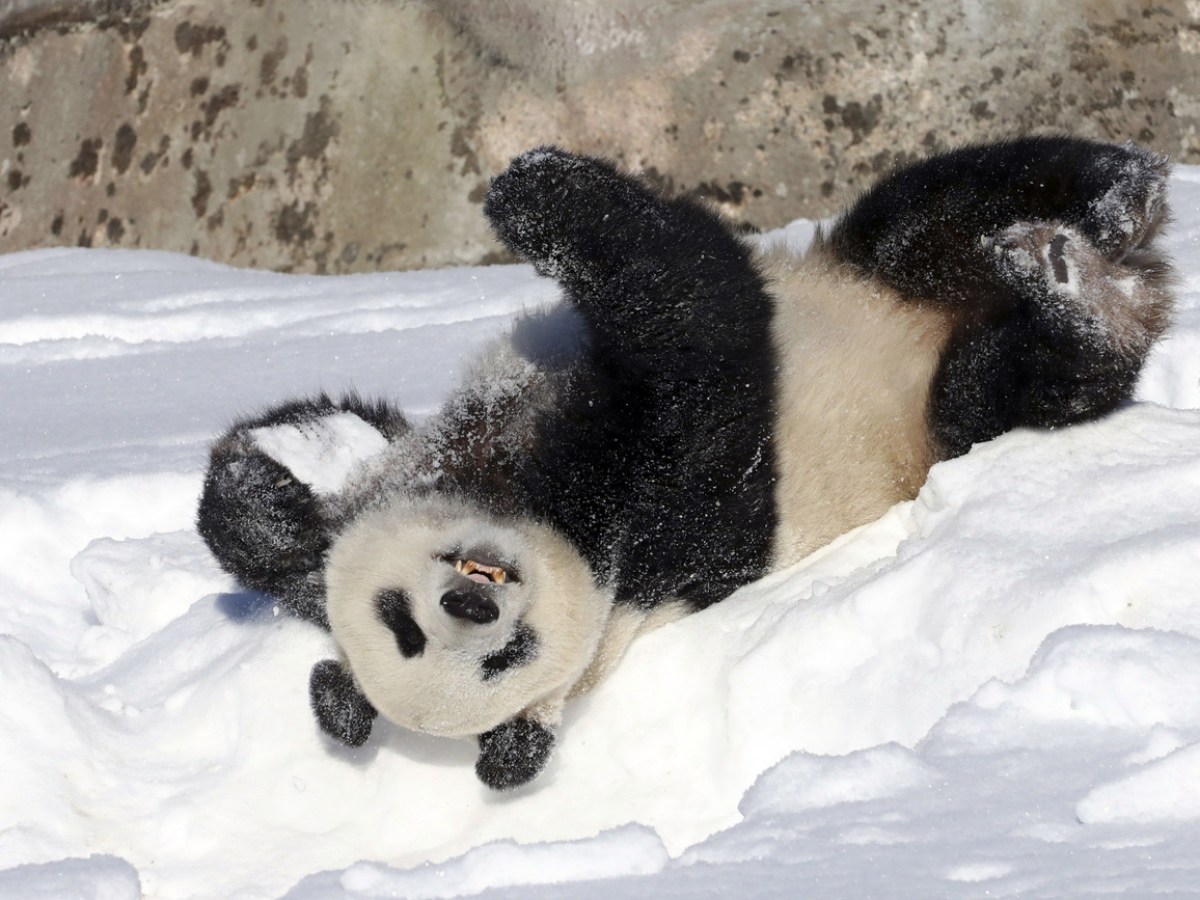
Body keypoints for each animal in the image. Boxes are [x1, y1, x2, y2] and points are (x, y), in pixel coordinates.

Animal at [197, 136, 1175, 790]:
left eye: (400, 621)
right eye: (502, 660)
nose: (472, 603)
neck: (524, 492)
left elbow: (280, 508)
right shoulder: (668, 521)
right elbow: (698, 323)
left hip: (881, 271)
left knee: (943, 200)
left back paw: (1111, 202)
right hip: (947, 413)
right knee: (1022, 379)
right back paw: (1077, 293)